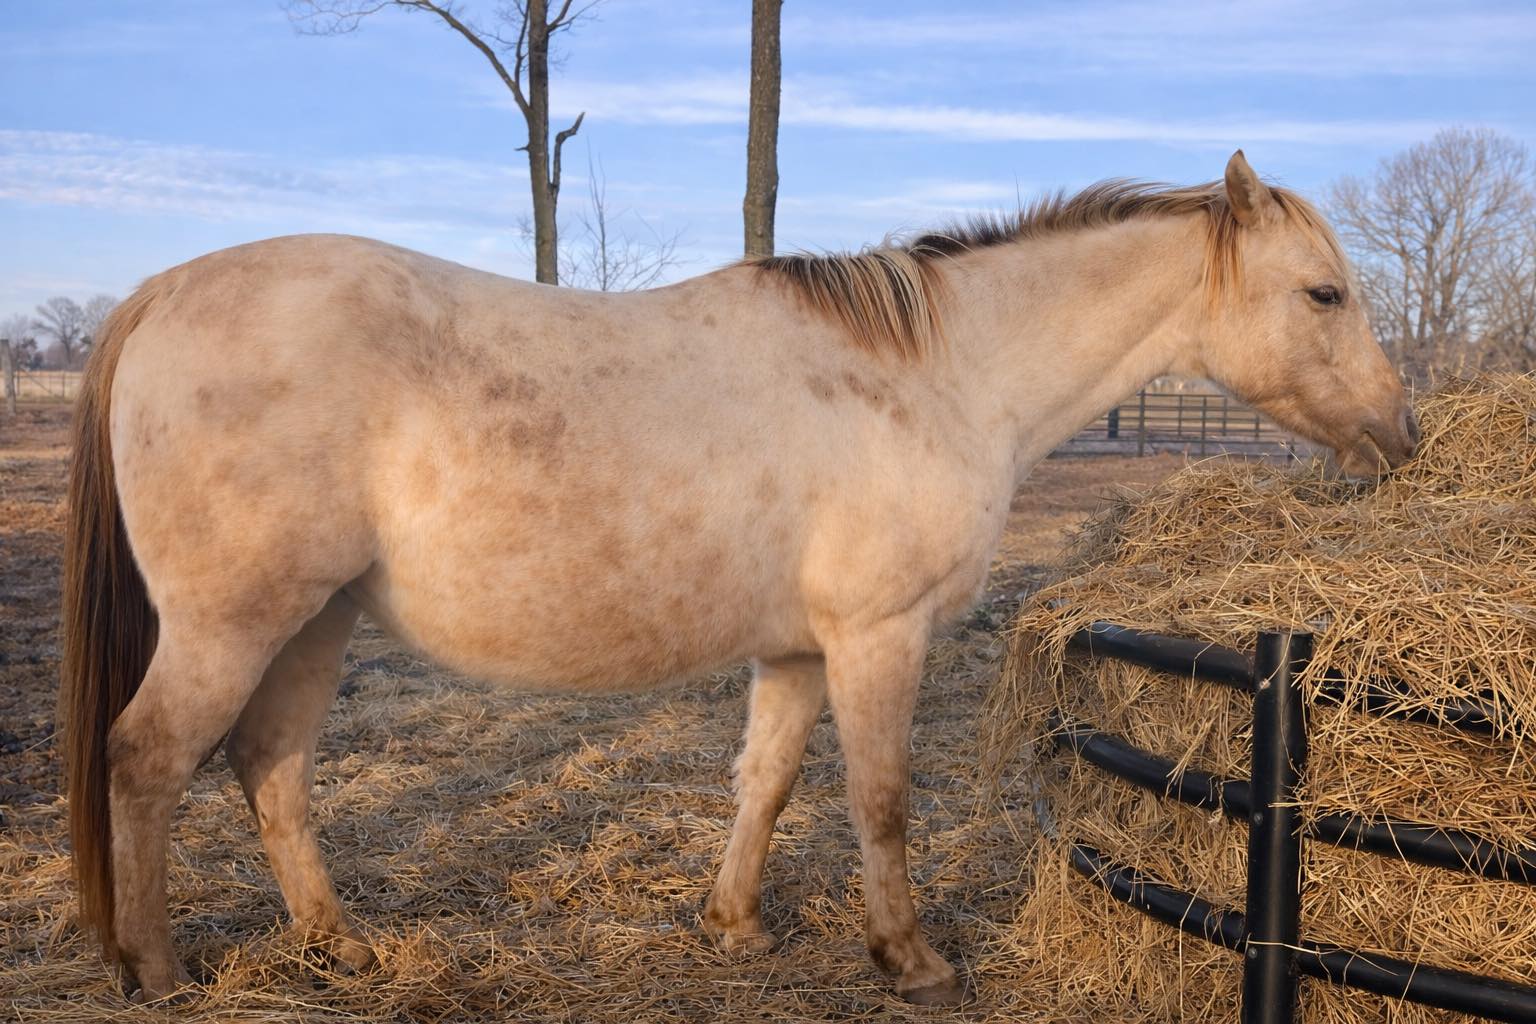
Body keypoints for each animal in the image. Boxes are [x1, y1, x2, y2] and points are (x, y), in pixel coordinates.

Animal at [60, 151, 1416, 1005]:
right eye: (1323, 292)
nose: (1402, 438)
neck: (941, 373)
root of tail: (157, 297)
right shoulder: (877, 635)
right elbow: (880, 800)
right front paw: (911, 961)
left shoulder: (800, 648)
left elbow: (762, 783)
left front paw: (734, 925)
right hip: (235, 622)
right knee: (147, 759)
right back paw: (157, 970)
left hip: (314, 621)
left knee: (271, 769)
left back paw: (339, 947)